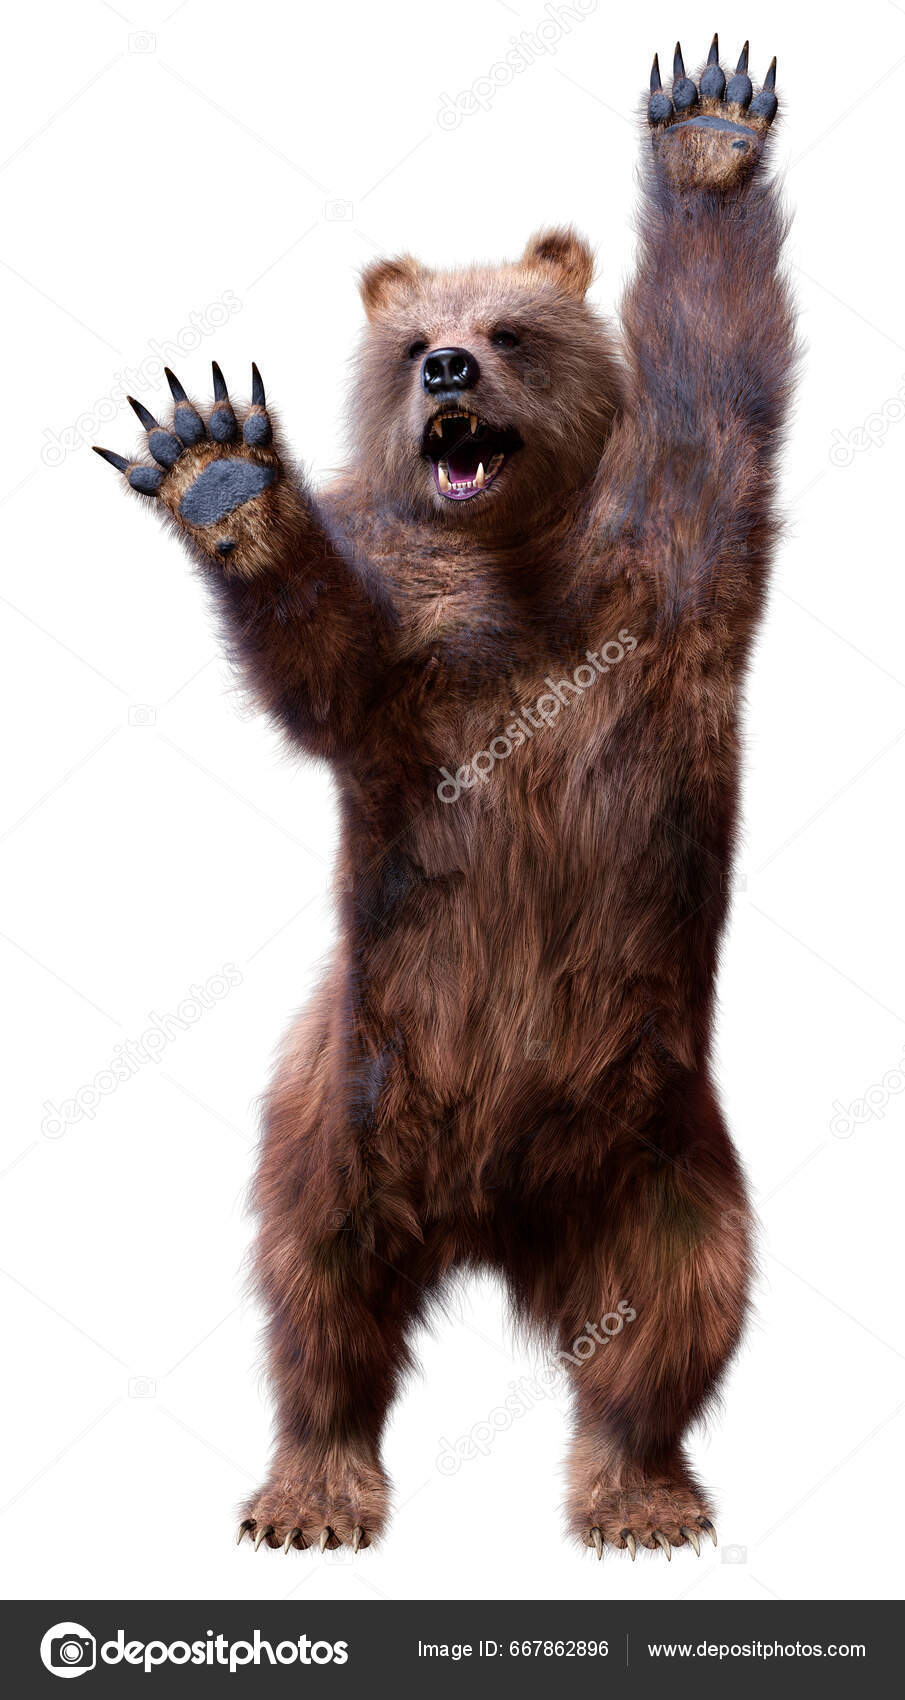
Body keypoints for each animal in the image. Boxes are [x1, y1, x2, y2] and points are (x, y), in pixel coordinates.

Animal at [95, 35, 792, 1560]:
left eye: (512, 328)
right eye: (415, 342)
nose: (452, 368)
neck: (511, 566)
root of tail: (485, 1219)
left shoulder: (664, 570)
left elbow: (717, 374)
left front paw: (707, 130)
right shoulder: (410, 673)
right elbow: (324, 662)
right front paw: (222, 471)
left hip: (663, 1154)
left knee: (675, 1311)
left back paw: (640, 1492)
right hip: (338, 1105)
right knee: (317, 1298)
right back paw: (312, 1487)